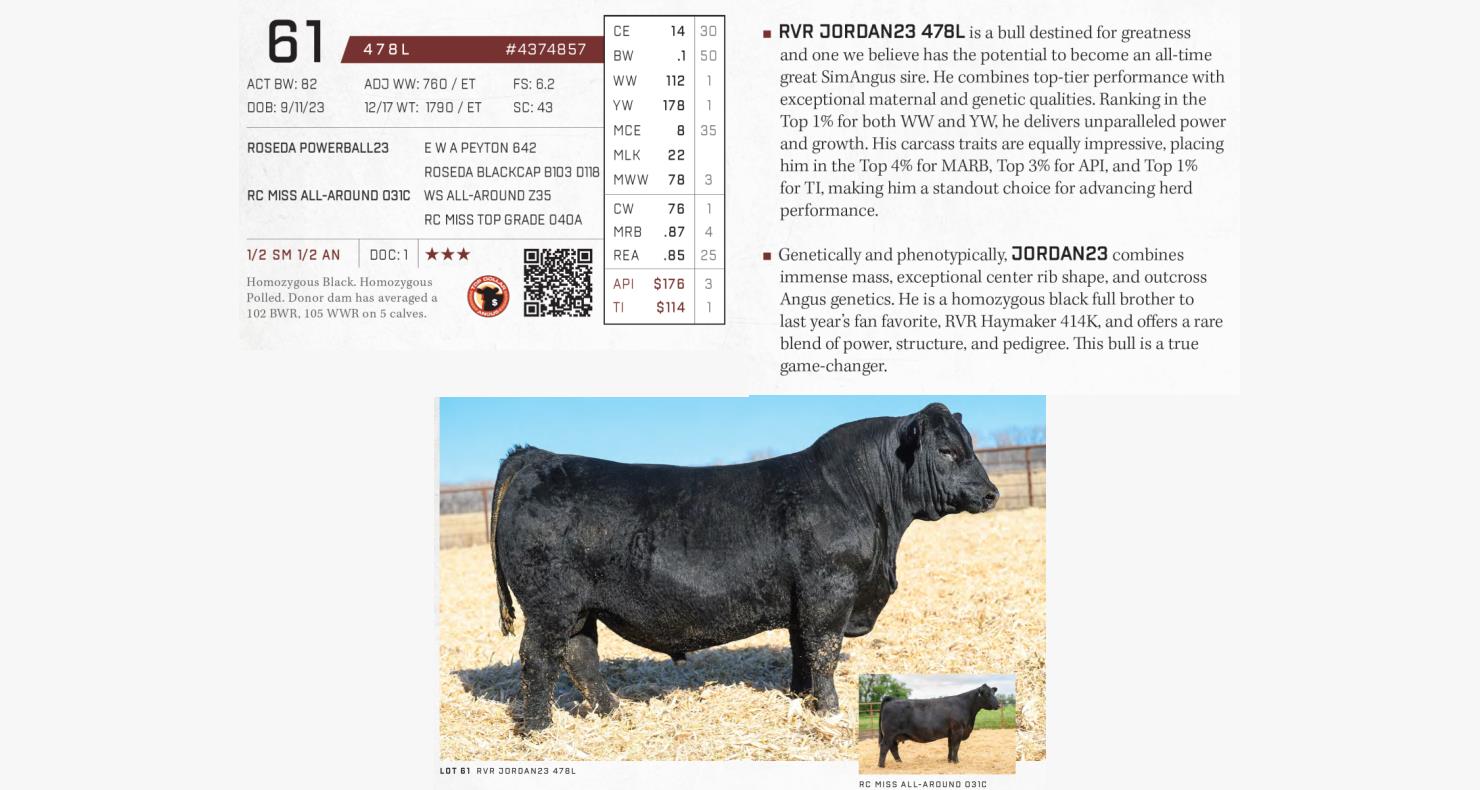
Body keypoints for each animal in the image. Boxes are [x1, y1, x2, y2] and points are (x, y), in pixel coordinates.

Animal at [488, 403, 999, 732]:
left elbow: (802, 651)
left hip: (577, 608)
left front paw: (801, 698)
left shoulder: (802, 602)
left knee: (580, 657)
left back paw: (613, 711)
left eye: (968, 445)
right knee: (539, 658)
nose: (991, 493)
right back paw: (539, 729)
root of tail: (537, 456)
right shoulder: (829, 592)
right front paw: (830, 712)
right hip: (550, 604)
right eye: (947, 450)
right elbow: (824, 652)